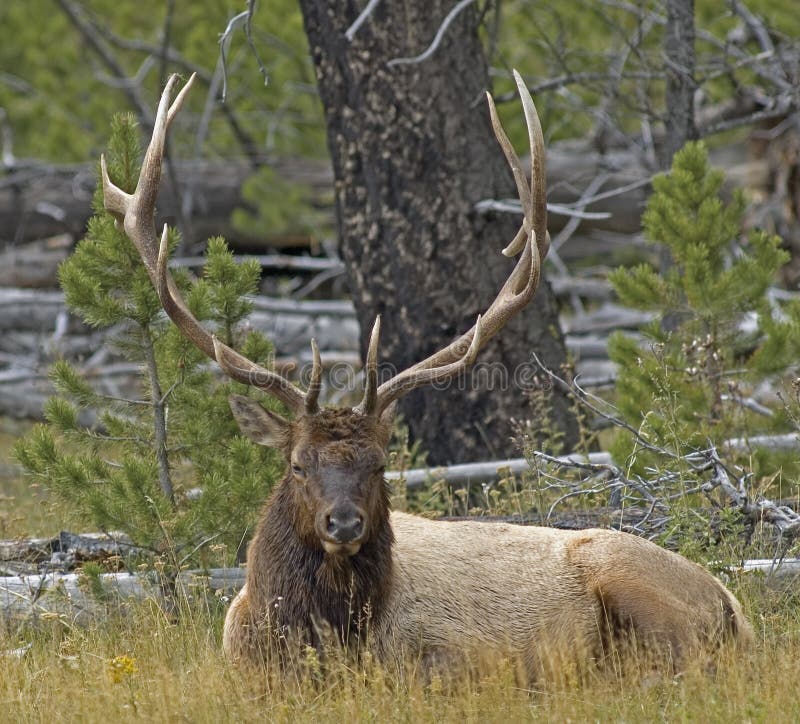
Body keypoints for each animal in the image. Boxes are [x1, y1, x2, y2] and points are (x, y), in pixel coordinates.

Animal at [101, 71, 753, 682]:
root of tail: (731, 603)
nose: (344, 522)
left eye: (379, 464)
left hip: (636, 586)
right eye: (297, 464)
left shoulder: (459, 655)